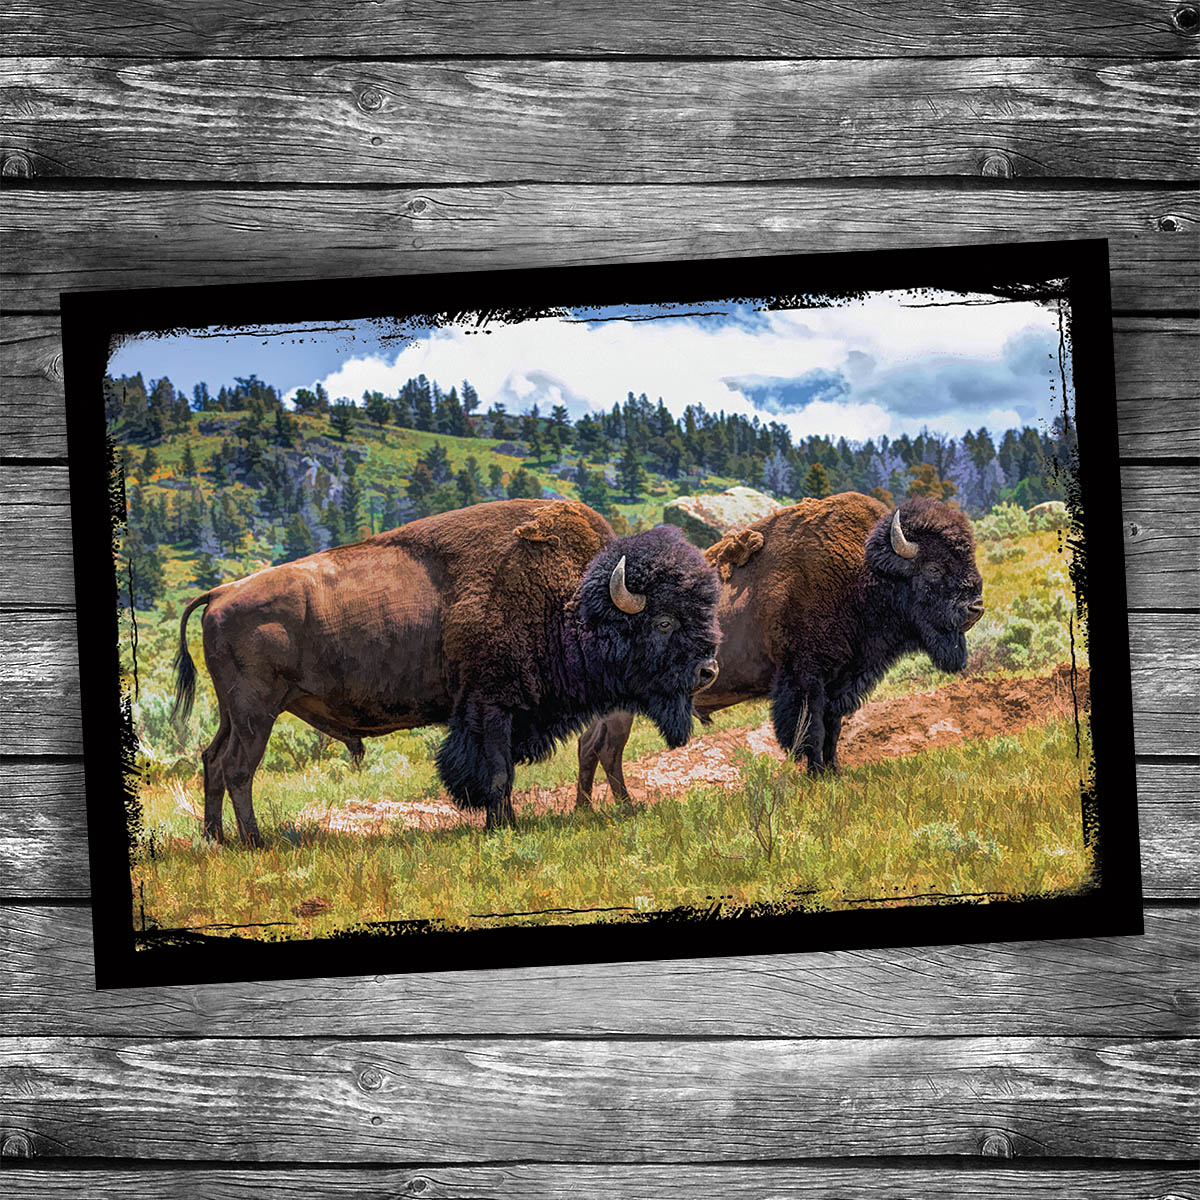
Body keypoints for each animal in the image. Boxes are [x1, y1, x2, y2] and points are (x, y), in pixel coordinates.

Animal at [172, 499, 721, 844]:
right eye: (665, 619)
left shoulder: (505, 712)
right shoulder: (490, 707)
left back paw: (216, 839)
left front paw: (502, 823)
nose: (708, 670)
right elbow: (496, 773)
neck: (576, 600)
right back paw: (255, 842)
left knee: (211, 759)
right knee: (238, 767)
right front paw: (503, 827)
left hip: (234, 712)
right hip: (257, 711)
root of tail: (220, 594)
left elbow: (502, 772)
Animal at [576, 493, 984, 805]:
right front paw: (816, 776)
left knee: (590, 746)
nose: (975, 607)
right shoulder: (805, 677)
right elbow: (809, 730)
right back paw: (625, 807)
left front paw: (834, 772)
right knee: (607, 750)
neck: (862, 571)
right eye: (933, 568)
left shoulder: (839, 681)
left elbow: (833, 729)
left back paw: (590, 810)